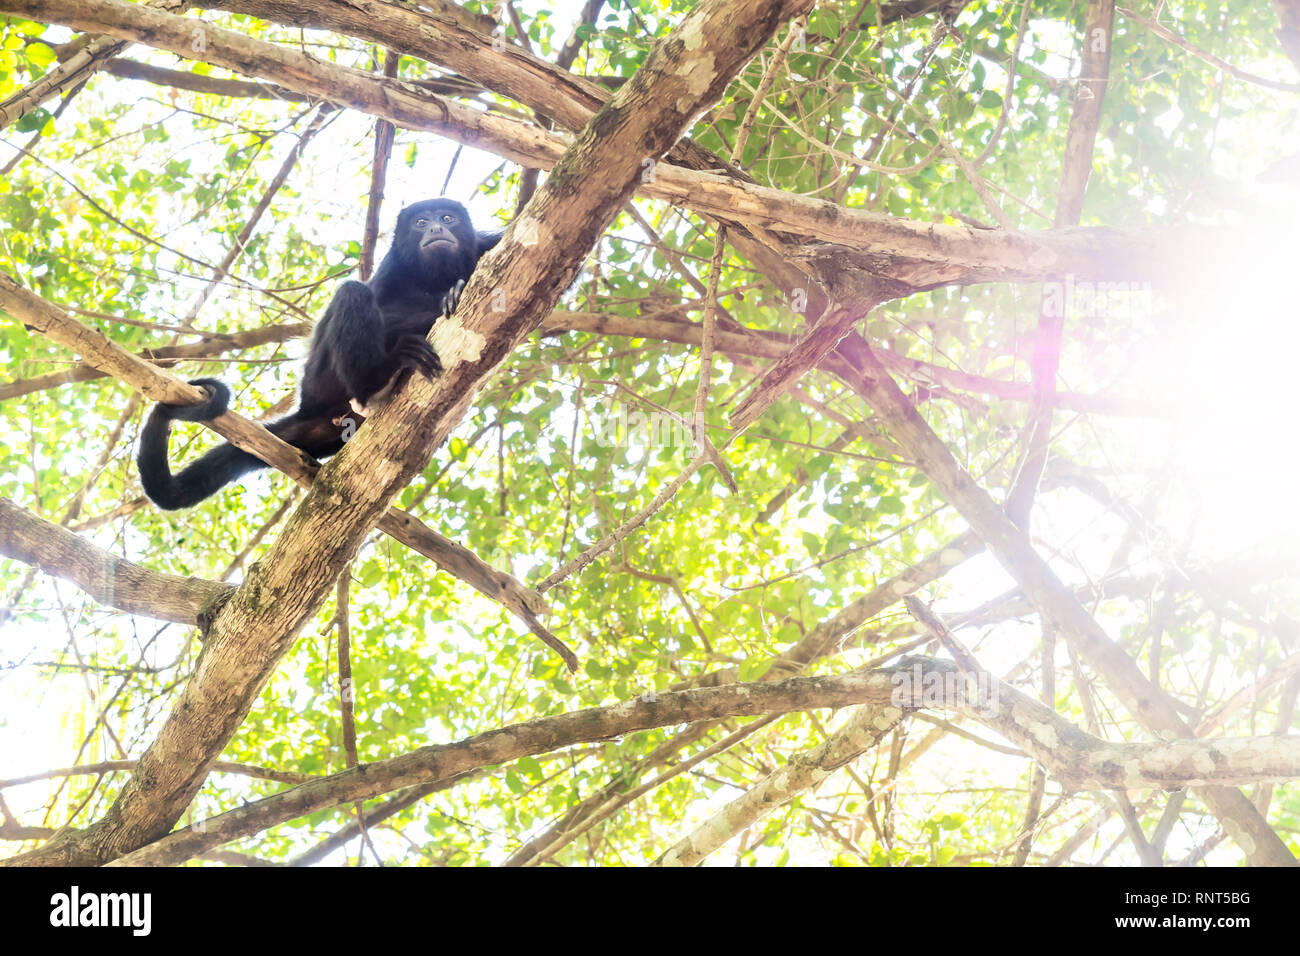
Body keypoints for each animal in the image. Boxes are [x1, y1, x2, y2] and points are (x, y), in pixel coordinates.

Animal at [137, 198, 502, 510]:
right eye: (421, 222)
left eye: (448, 218)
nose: (435, 228)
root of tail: (310, 410)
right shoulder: (392, 266)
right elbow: (384, 309)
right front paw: (449, 293)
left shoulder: (484, 243)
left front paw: (454, 289)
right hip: (320, 380)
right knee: (352, 293)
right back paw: (377, 381)